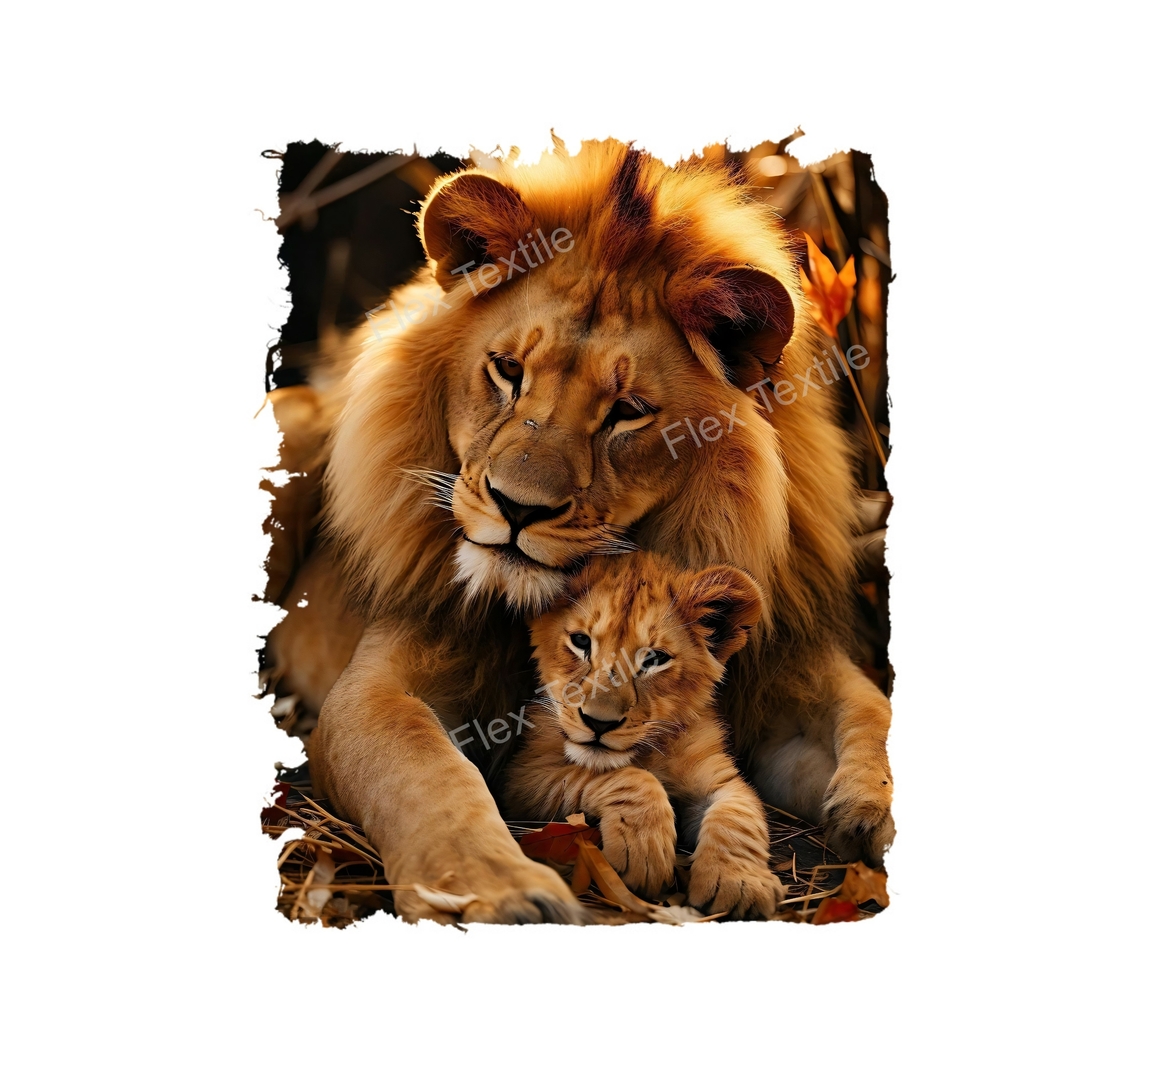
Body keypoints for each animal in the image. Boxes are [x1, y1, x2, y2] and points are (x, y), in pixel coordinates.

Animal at [503, 551, 786, 919]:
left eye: (654, 659)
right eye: (581, 642)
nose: (599, 723)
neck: (646, 749)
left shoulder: (719, 776)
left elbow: (739, 816)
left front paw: (741, 883)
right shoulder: (522, 778)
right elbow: (626, 777)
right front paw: (645, 854)